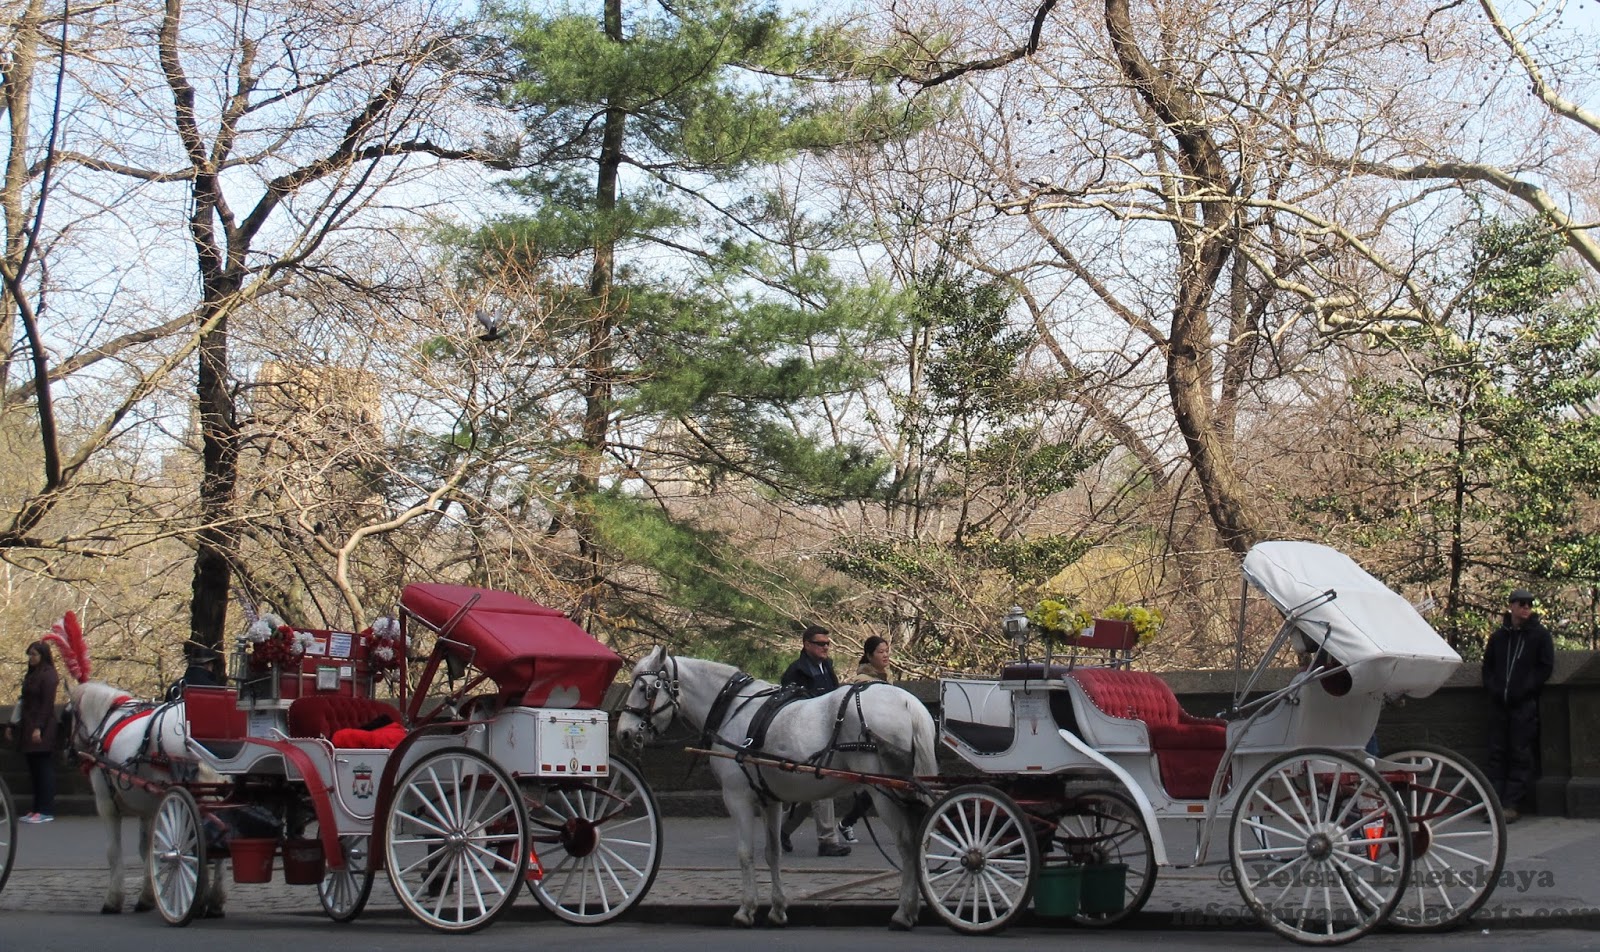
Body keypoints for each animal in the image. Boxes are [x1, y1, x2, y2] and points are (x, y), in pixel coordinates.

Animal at [66, 680, 229, 917]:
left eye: (67, 716)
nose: (69, 754)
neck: (109, 720)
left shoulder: (107, 805)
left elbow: (113, 851)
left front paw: (114, 900)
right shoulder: (149, 809)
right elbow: (147, 848)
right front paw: (147, 896)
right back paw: (214, 900)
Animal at [615, 646, 936, 930]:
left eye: (644, 688)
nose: (624, 733)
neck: (733, 709)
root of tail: (909, 704)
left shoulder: (737, 797)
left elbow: (745, 853)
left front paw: (746, 909)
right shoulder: (770, 799)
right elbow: (773, 852)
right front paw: (778, 909)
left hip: (885, 791)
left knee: (908, 844)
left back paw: (904, 912)